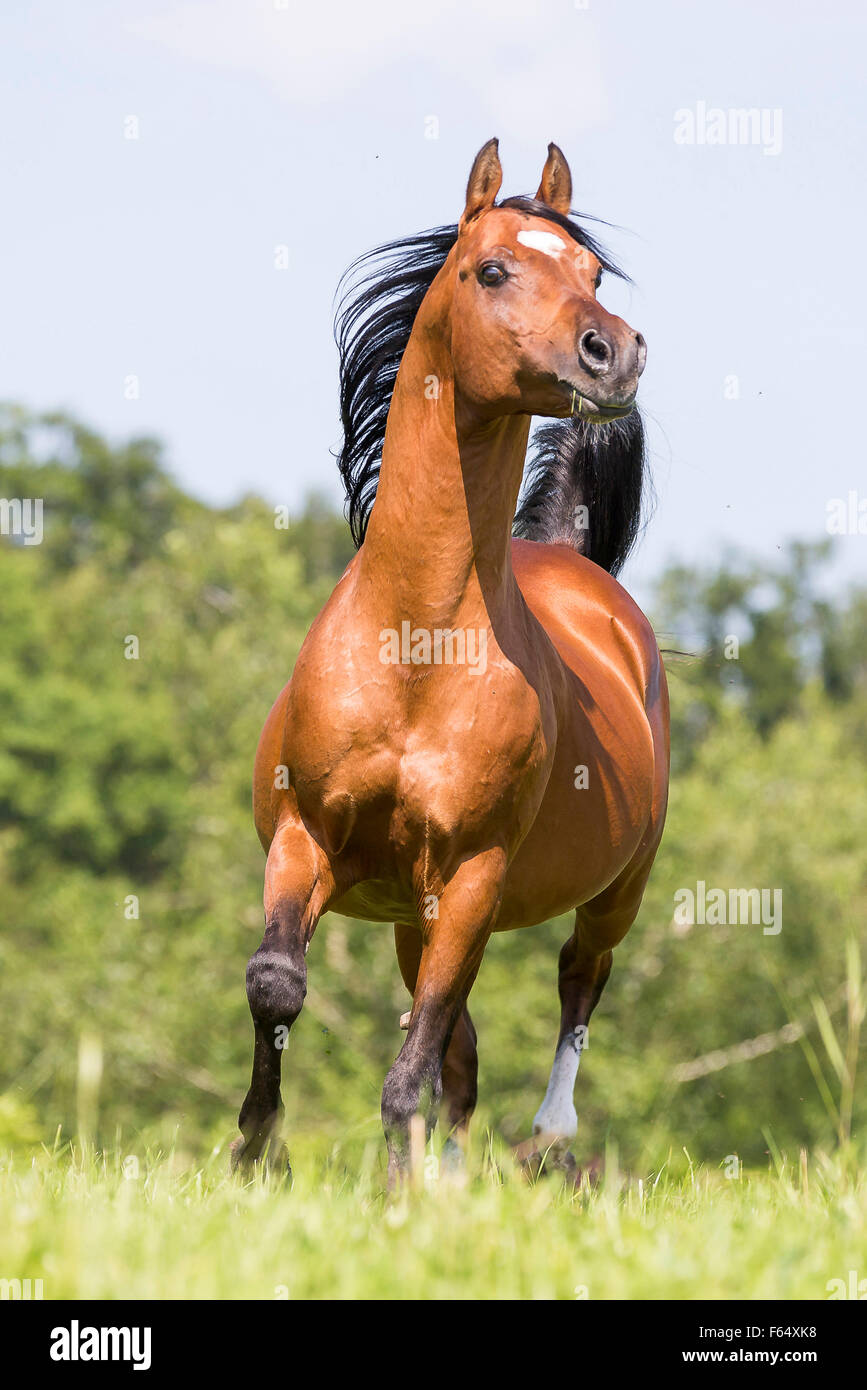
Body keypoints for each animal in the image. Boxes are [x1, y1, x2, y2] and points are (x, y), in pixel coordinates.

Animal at [231, 139, 670, 1180]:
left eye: (592, 273)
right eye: (493, 269)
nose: (615, 353)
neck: (415, 652)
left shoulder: (471, 875)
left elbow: (413, 1064)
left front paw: (397, 1186)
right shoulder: (307, 840)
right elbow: (276, 983)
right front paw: (254, 1151)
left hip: (613, 889)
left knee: (577, 979)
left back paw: (547, 1137)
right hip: (409, 916)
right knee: (463, 1049)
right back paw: (458, 1179)